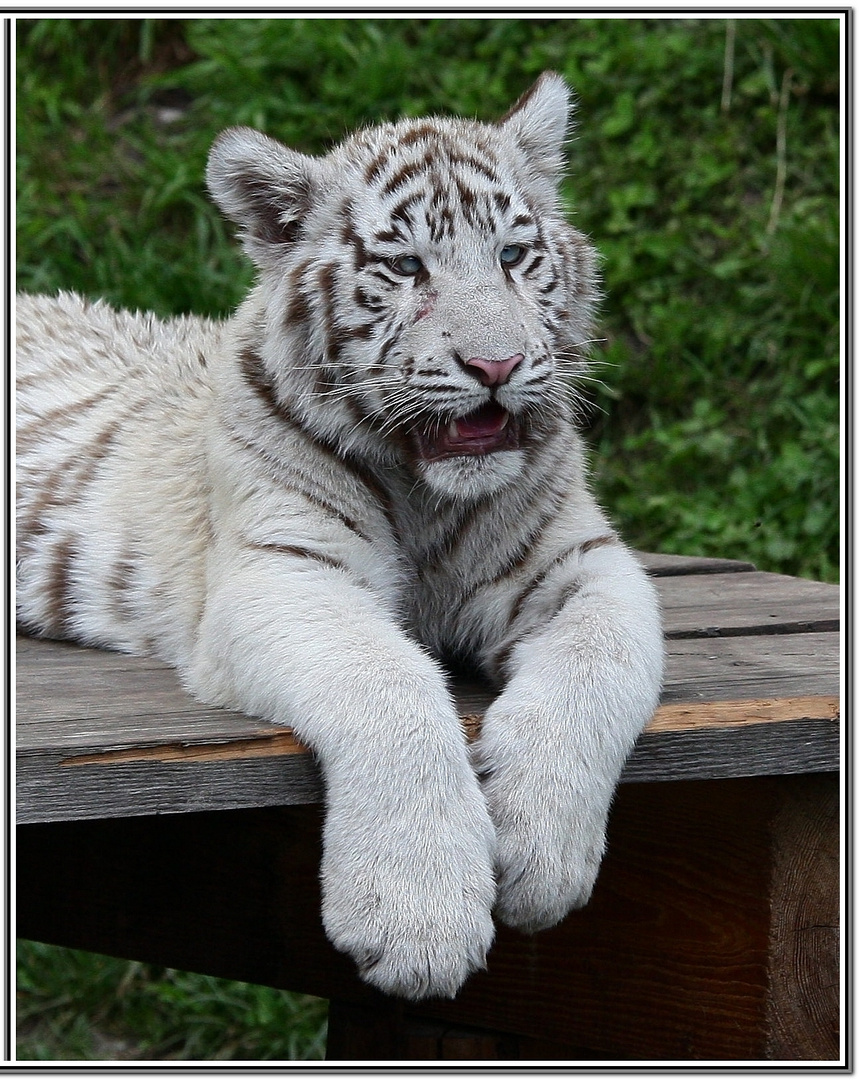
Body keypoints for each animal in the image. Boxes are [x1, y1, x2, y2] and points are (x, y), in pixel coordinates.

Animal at [16, 72, 664, 1001]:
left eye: (512, 255)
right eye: (406, 267)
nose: (497, 366)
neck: (428, 494)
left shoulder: (582, 567)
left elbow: (598, 663)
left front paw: (542, 853)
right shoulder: (285, 572)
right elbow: (388, 682)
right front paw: (417, 918)